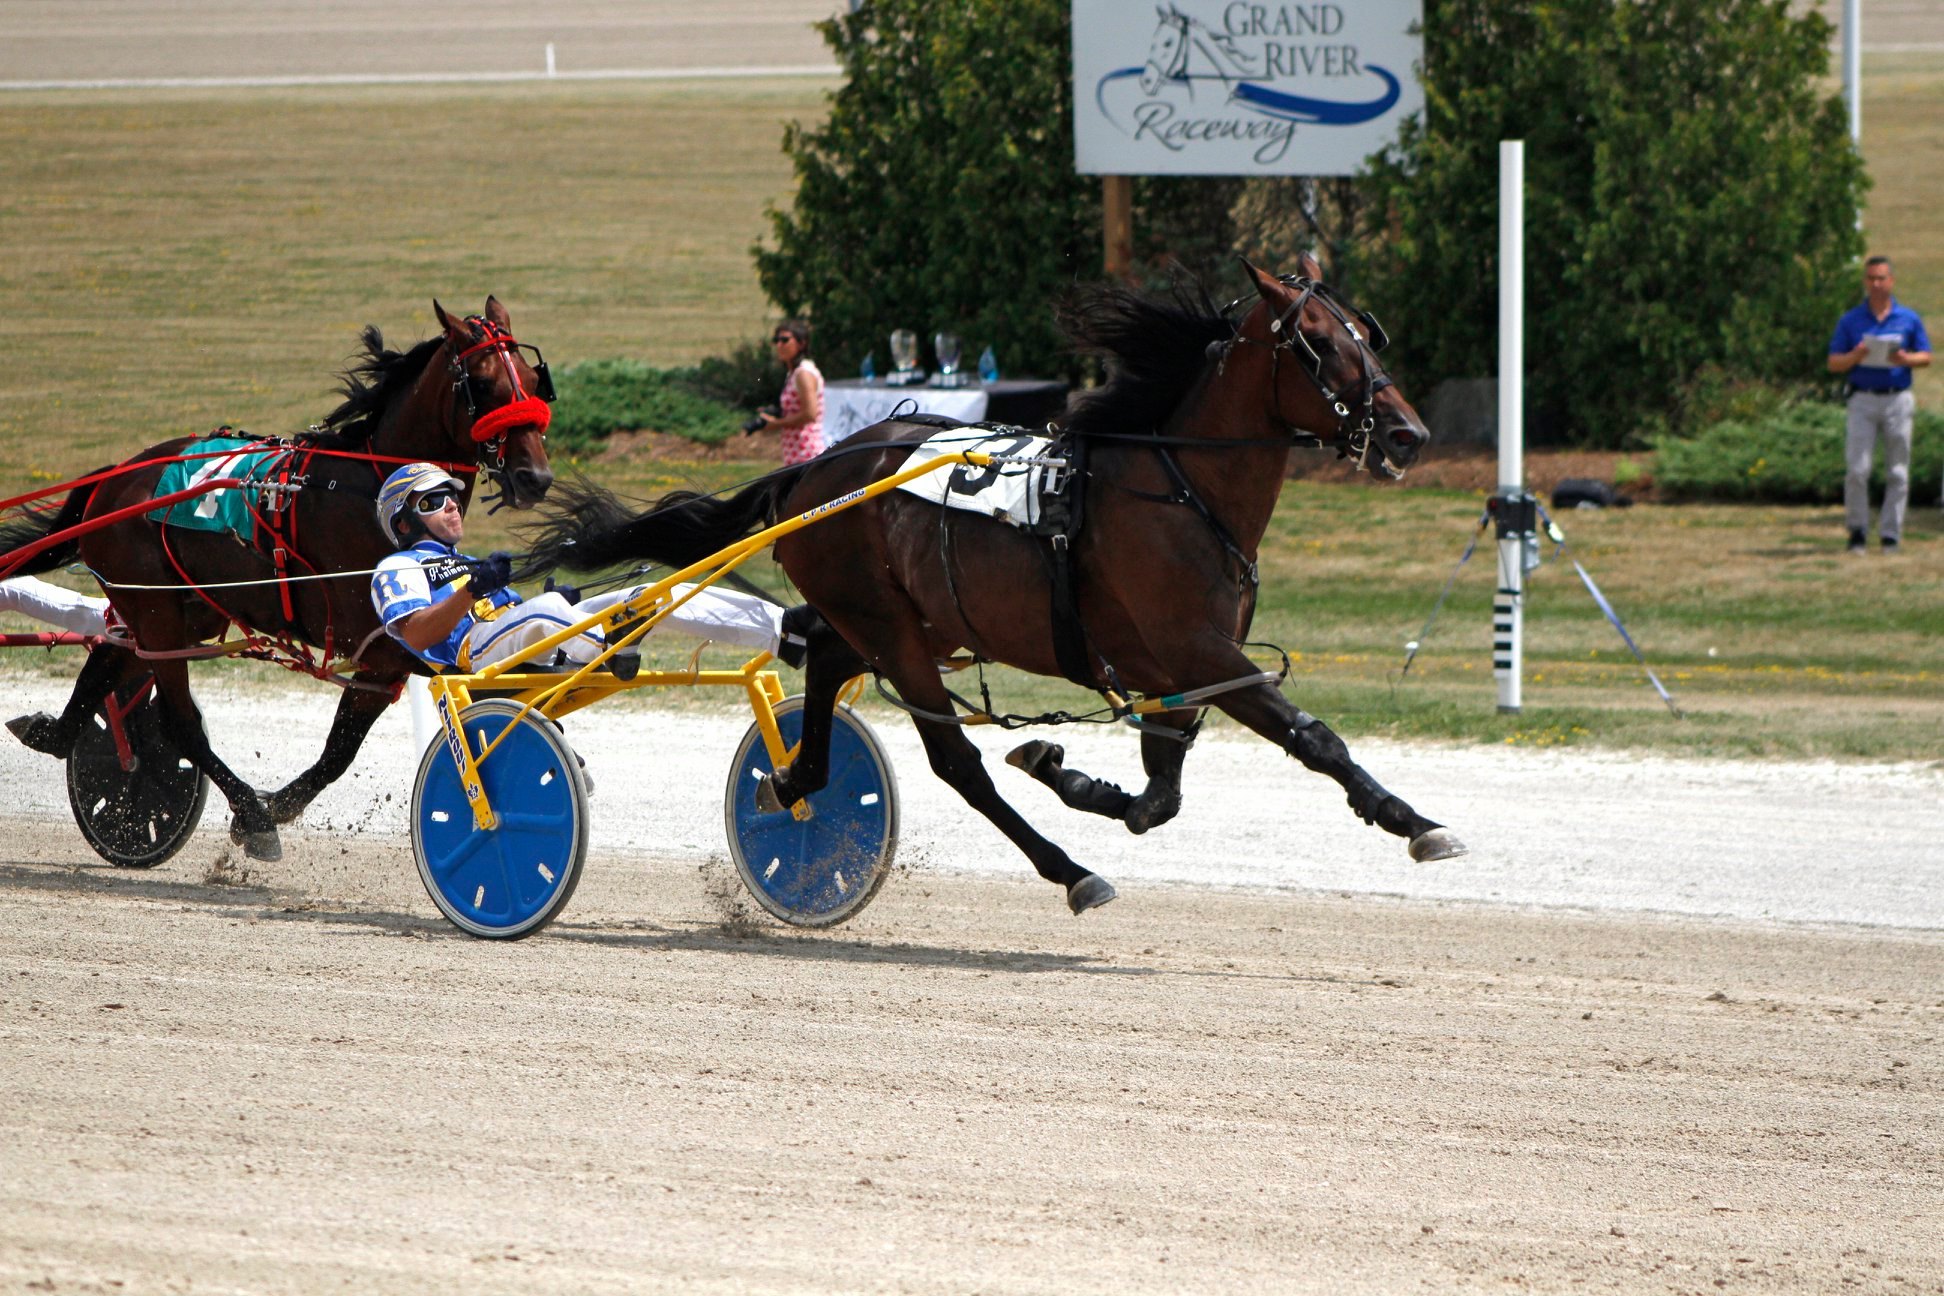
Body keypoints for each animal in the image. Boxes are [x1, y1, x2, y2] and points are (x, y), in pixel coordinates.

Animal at [0, 298, 558, 862]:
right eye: (483, 383)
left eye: (535, 379)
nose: (535, 478)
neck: (374, 492)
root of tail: (114, 478)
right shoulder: (379, 642)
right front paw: (263, 815)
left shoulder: (383, 663)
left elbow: (339, 751)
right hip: (156, 610)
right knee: (178, 722)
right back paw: (248, 810)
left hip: (183, 610)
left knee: (107, 664)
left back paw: (54, 733)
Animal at [519, 258, 1468, 915]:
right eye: (1320, 344)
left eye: (1367, 333)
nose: (1409, 435)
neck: (1178, 488)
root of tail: (811, 476)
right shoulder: (1198, 650)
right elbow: (1312, 737)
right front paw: (1416, 822)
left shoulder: (1172, 666)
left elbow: (1159, 794)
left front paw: (1066, 770)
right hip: (895, 633)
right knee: (954, 762)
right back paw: (1070, 872)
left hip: (906, 621)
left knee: (824, 659)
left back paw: (793, 781)